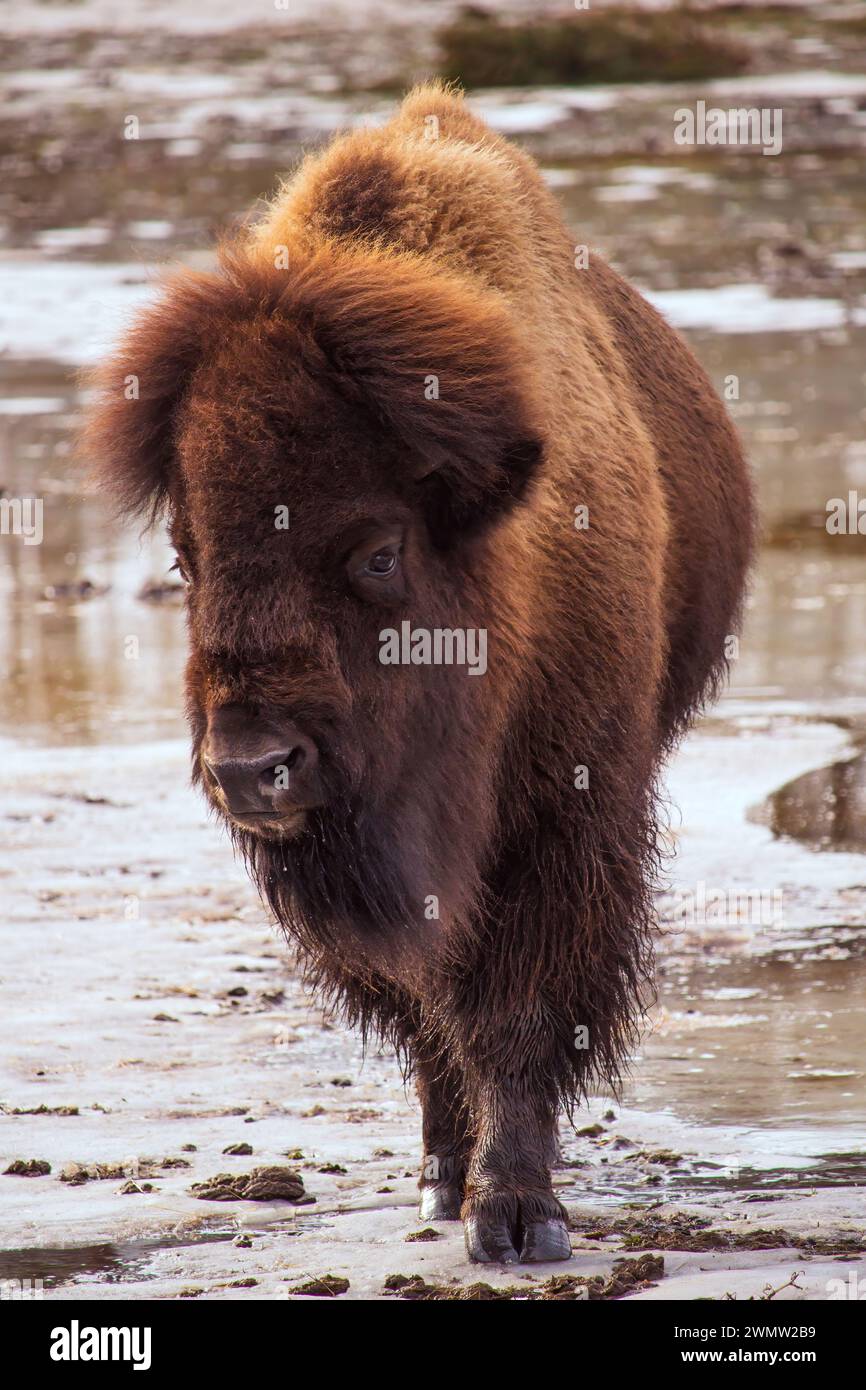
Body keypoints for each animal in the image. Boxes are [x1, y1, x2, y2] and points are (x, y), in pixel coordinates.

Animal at [83, 83, 754, 1263]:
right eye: (185, 557)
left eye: (379, 553)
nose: (251, 767)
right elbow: (433, 1014)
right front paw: (457, 1183)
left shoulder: (564, 824)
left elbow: (521, 1015)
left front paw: (520, 1216)